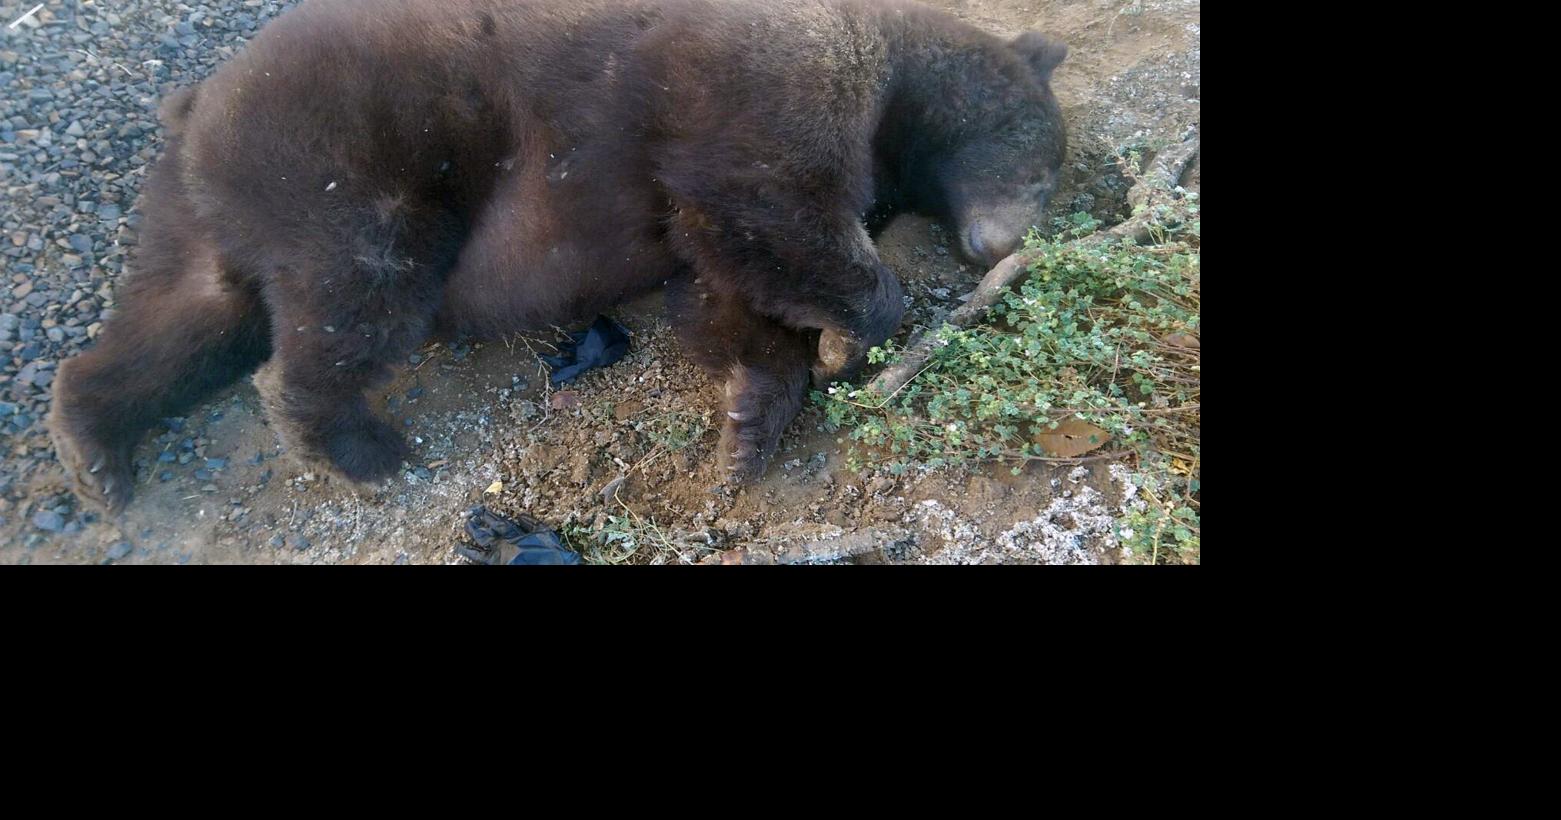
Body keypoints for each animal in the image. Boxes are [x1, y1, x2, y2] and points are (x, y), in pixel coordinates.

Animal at [49, 0, 1068, 514]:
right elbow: (768, 206)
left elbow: (724, 280)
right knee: (358, 280)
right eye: (1043, 160)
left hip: (197, 202)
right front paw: (853, 331)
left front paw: (749, 419)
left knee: (184, 316)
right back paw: (355, 444)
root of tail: (195, 106)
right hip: (341, 148)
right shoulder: (767, 75)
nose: (1004, 242)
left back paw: (93, 443)